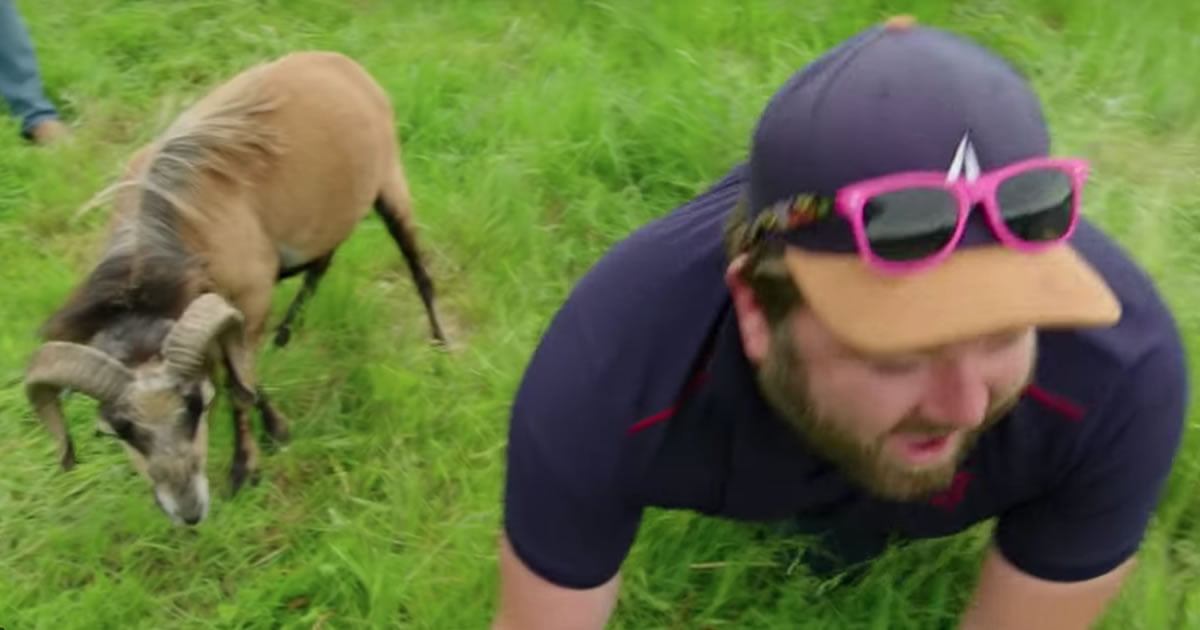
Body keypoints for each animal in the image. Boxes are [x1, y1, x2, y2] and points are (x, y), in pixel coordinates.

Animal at [22, 50, 447, 526]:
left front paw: (248, 468)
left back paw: (442, 346)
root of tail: (338, 60)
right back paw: (287, 331)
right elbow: (243, 372)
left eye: (197, 405)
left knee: (418, 268)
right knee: (324, 258)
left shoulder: (249, 299)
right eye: (118, 428)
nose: (188, 512)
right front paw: (275, 430)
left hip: (391, 184)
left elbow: (238, 383)